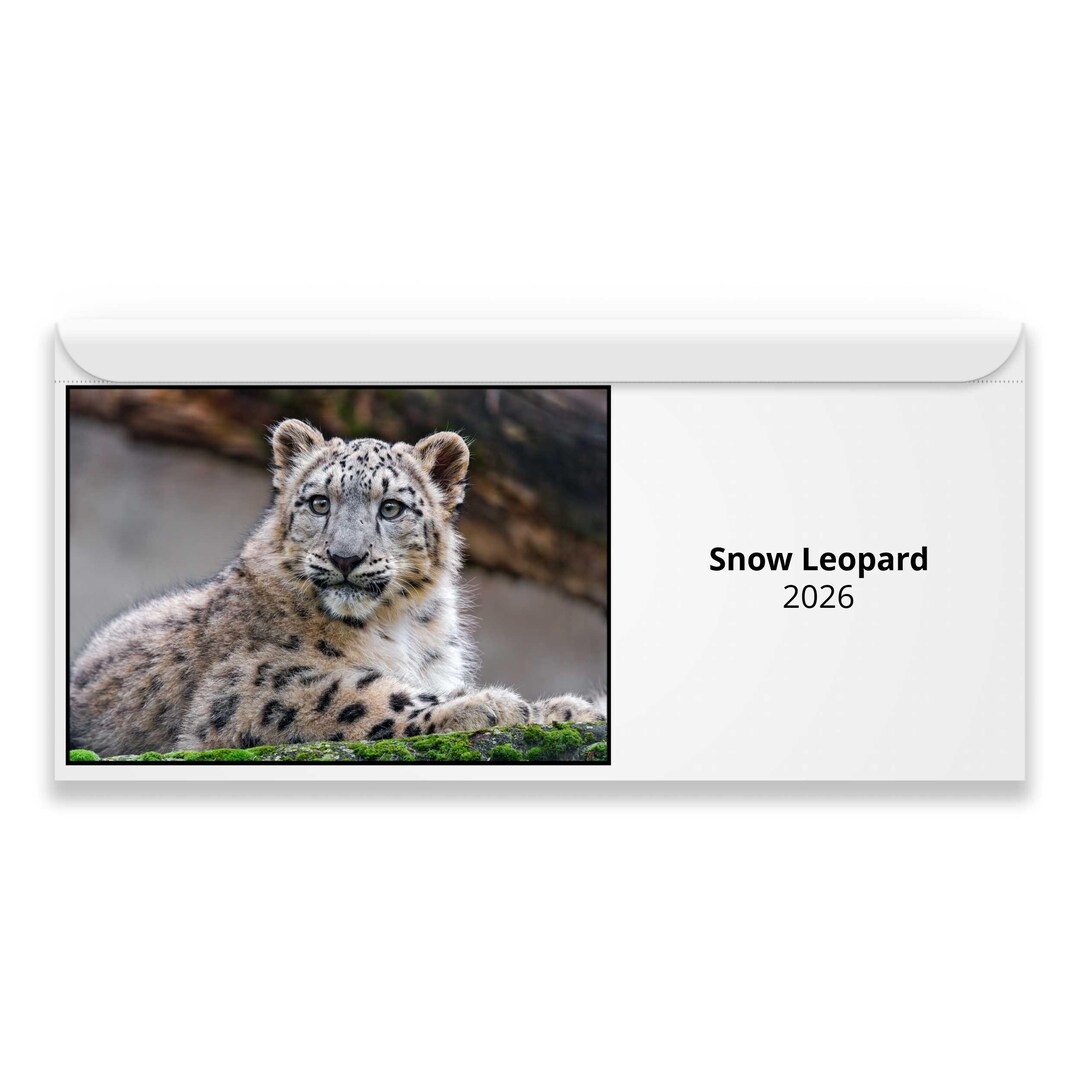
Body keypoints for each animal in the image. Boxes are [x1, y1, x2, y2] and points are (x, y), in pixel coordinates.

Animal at [70, 419, 605, 757]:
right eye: (319, 503)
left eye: (391, 507)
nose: (345, 558)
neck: (402, 625)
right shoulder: (254, 685)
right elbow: (366, 695)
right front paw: (492, 705)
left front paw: (566, 708)